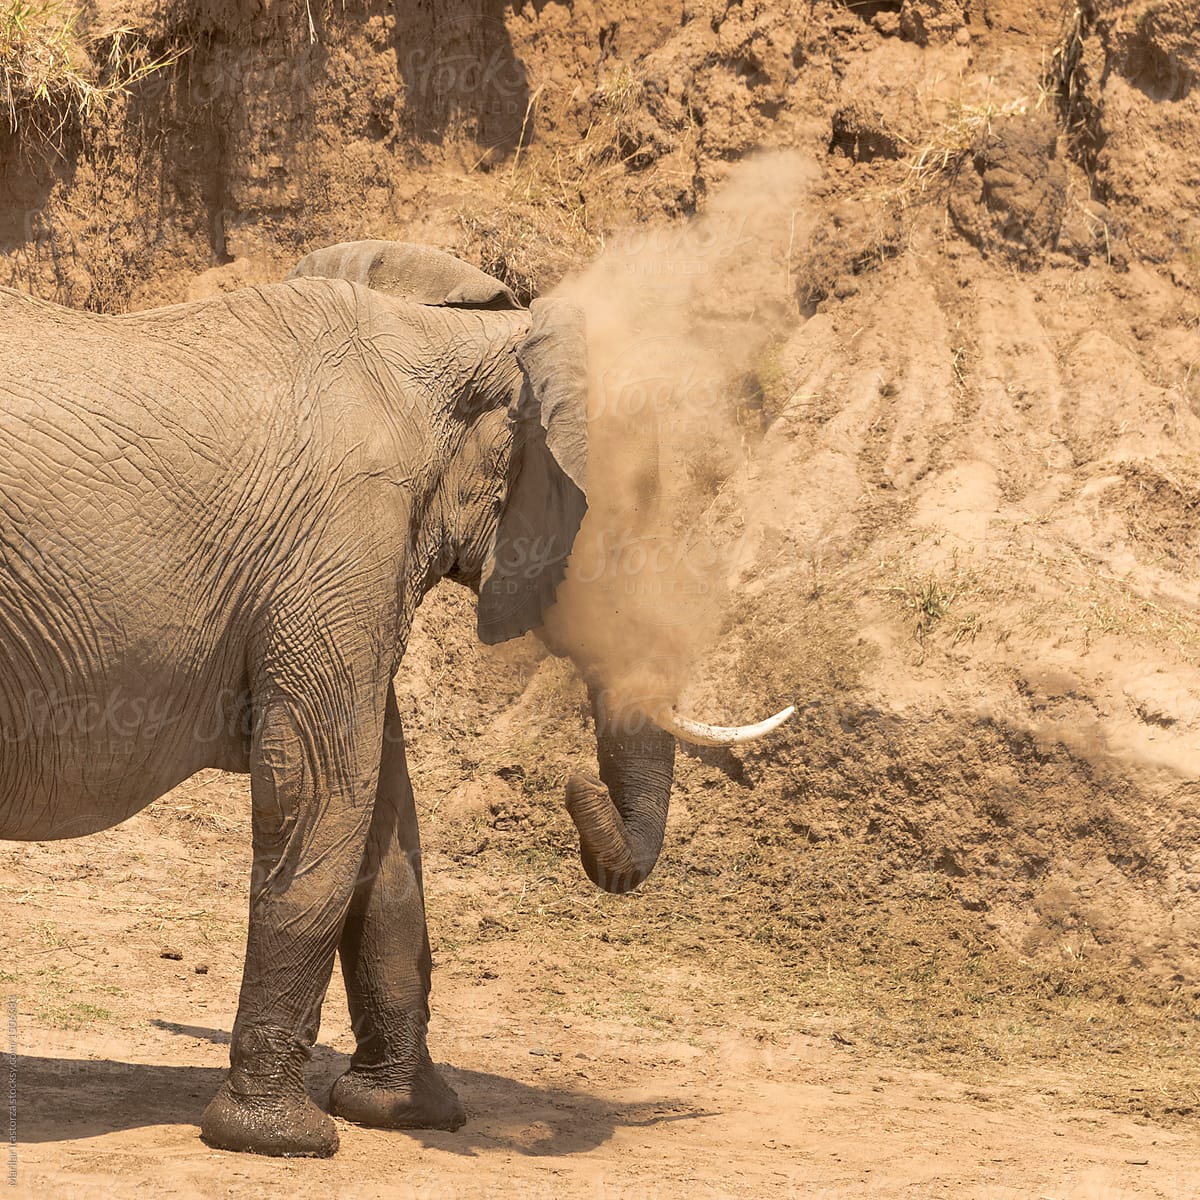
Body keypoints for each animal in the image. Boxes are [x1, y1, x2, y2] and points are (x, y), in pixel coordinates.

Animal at [0, 243, 791, 1157]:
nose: (573, 788)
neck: (451, 344)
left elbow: (386, 825)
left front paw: (404, 1115)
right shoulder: (341, 539)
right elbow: (323, 791)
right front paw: (284, 1141)